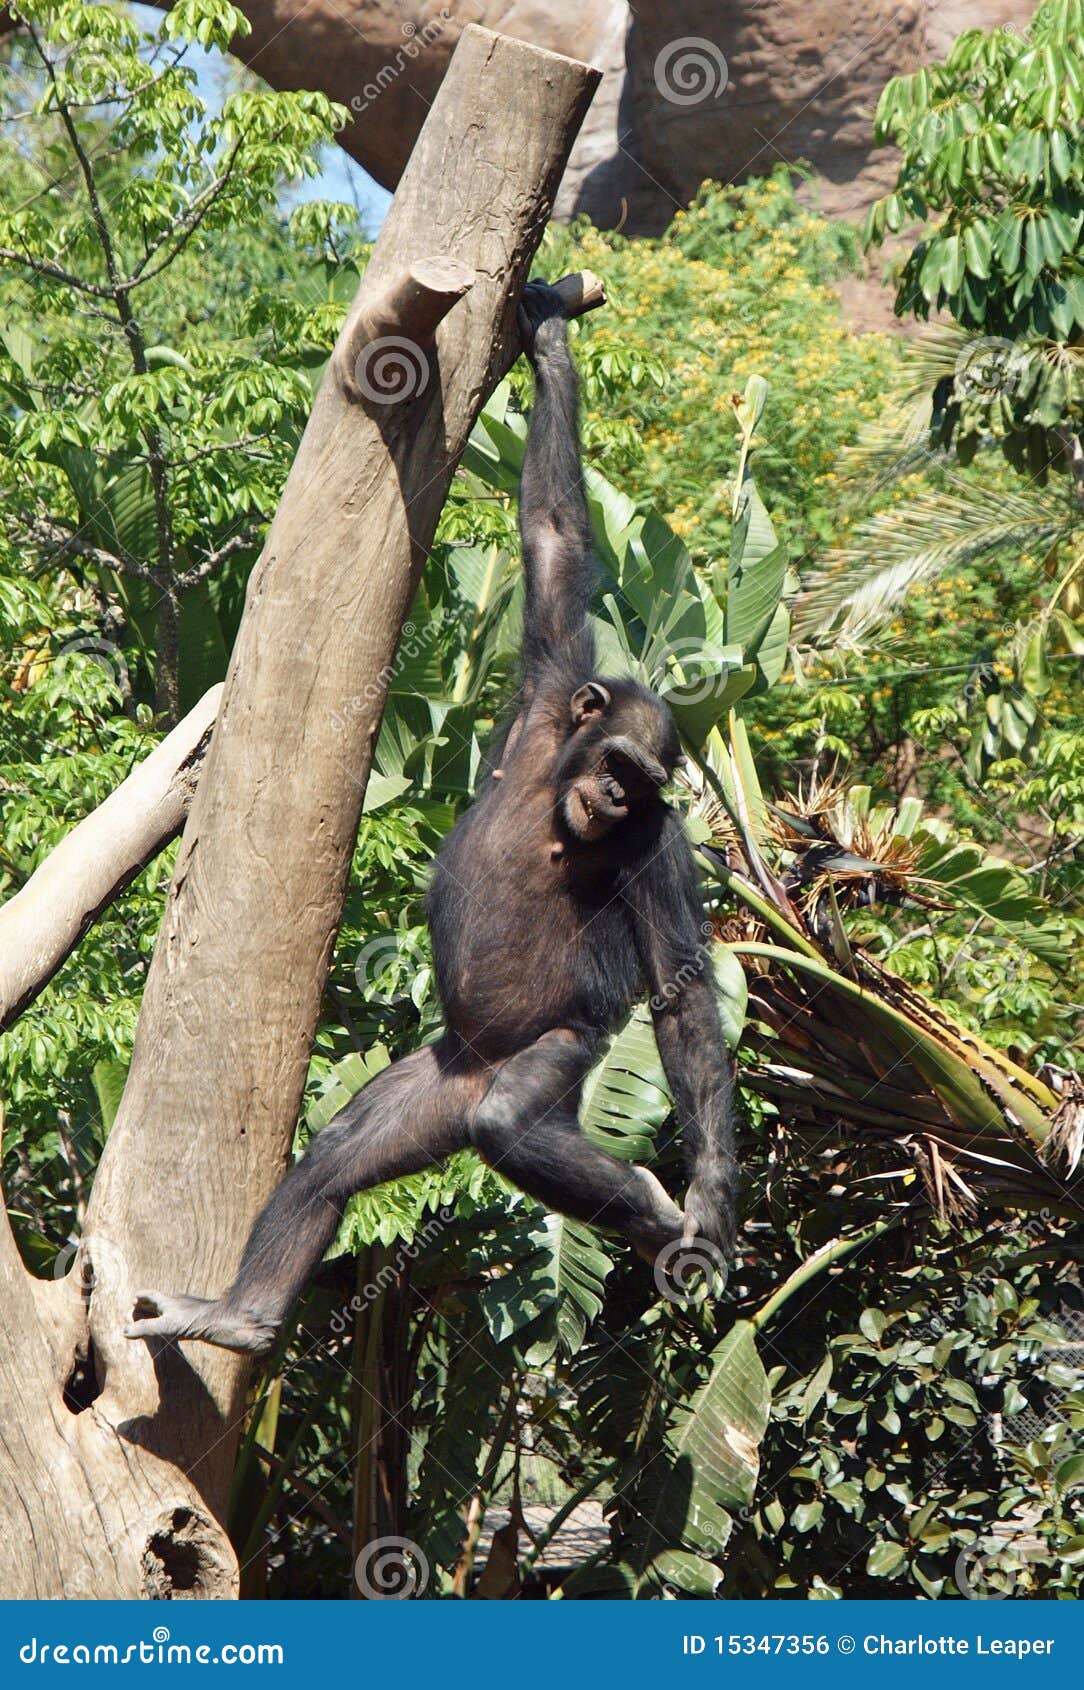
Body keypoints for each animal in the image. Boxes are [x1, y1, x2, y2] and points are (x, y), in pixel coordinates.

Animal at [127, 281, 741, 1356]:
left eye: (641, 782)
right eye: (616, 763)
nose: (618, 795)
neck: (561, 790)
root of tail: (465, 1083)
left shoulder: (664, 847)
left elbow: (680, 990)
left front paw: (708, 1195)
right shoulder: (552, 676)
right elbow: (553, 531)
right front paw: (548, 336)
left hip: (551, 1057)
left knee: (509, 1126)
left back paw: (655, 1206)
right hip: (424, 1090)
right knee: (336, 1156)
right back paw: (241, 1317)